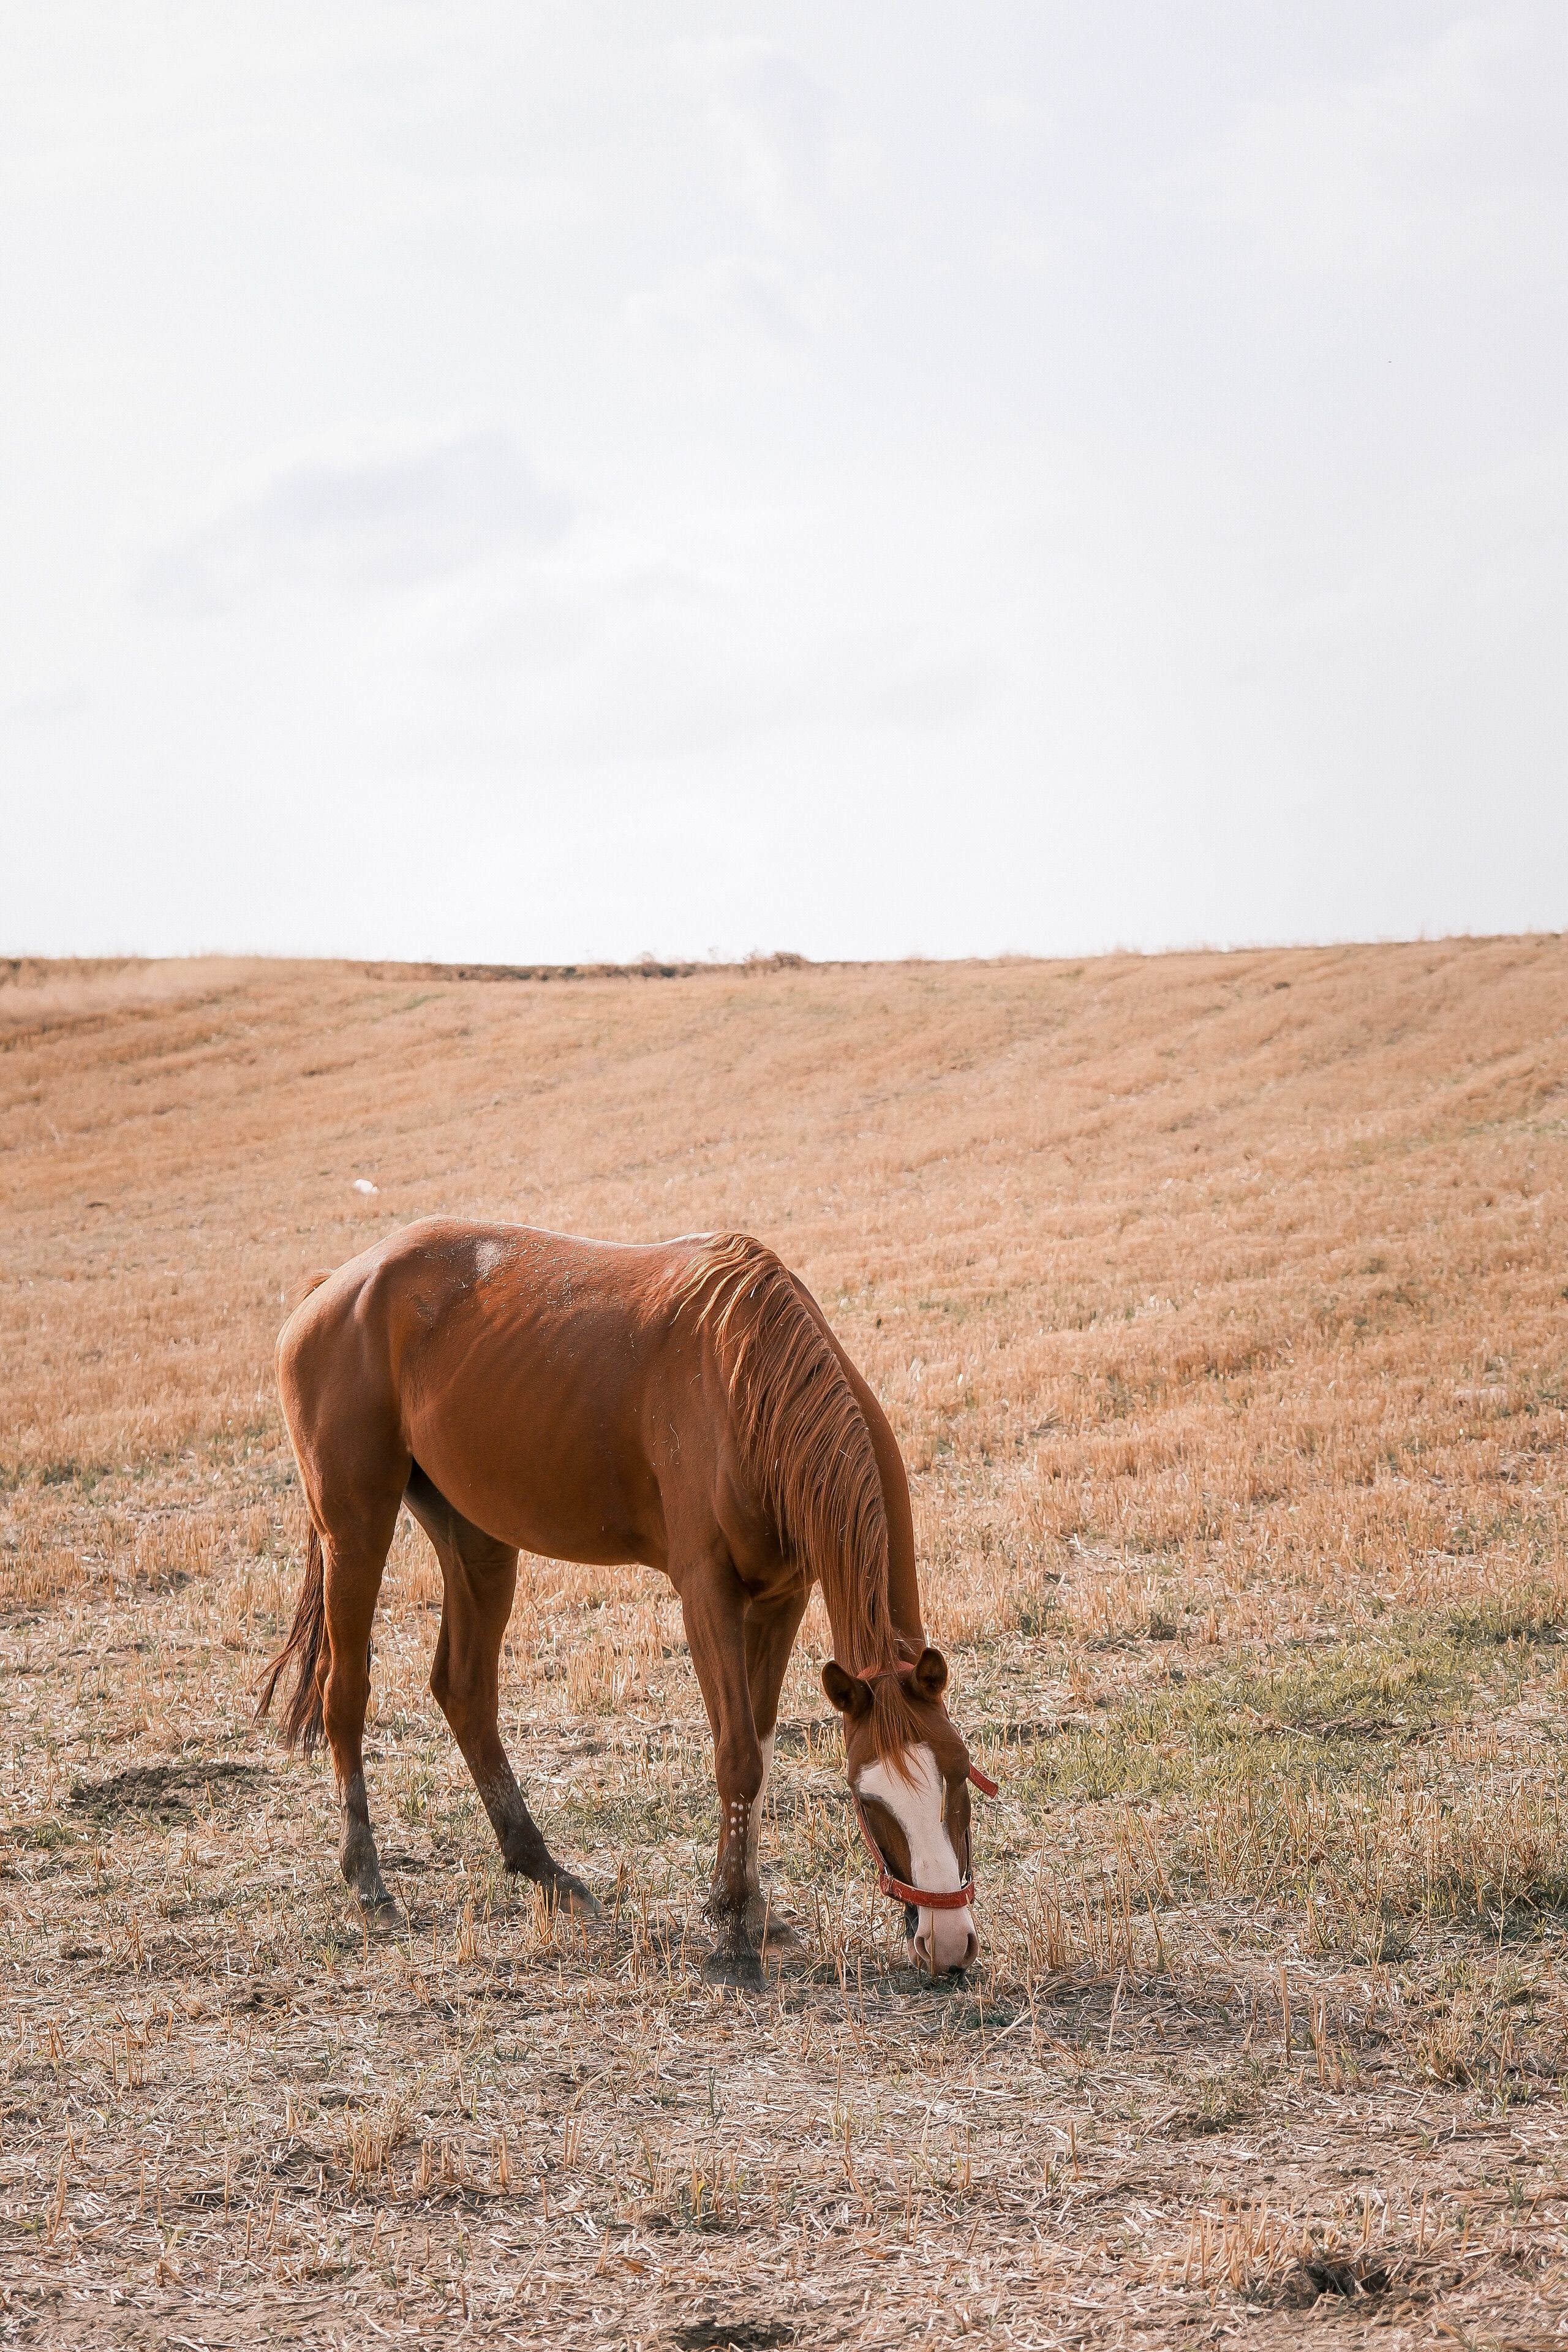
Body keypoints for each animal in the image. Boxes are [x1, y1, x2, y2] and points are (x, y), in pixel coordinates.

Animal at [258, 1219, 995, 1980]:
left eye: (958, 1779)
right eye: (868, 1802)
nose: (947, 1942)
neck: (745, 1375)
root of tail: (335, 1287)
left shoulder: (784, 1594)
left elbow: (759, 1750)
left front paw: (750, 1910)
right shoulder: (705, 1590)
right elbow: (738, 1755)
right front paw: (733, 1931)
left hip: (476, 1540)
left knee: (464, 1690)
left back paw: (545, 1870)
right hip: (355, 1529)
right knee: (346, 1692)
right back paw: (368, 1881)